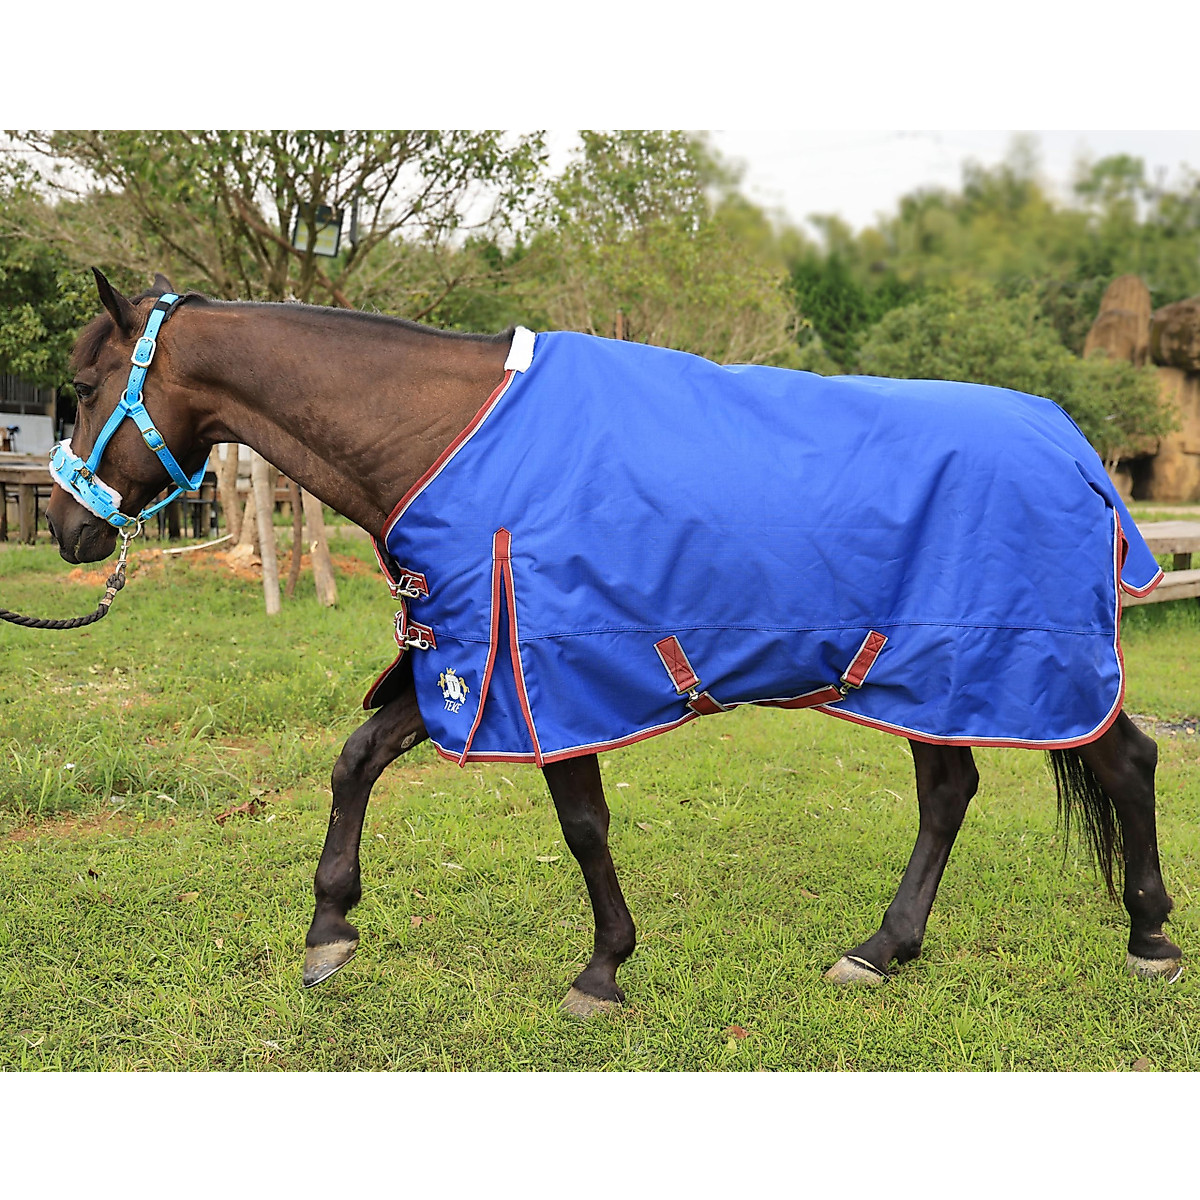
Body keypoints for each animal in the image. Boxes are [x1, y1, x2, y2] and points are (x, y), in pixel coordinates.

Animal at [45, 270, 1183, 1017]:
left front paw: (602, 971)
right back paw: (881, 950)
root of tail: (1076, 447)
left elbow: (582, 825)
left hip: (999, 664)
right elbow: (356, 759)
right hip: (924, 676)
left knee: (1125, 761)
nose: (65, 528)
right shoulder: (464, 661)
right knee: (953, 794)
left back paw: (1150, 937)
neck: (446, 437)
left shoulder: (546, 672)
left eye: (87, 387)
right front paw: (331, 932)